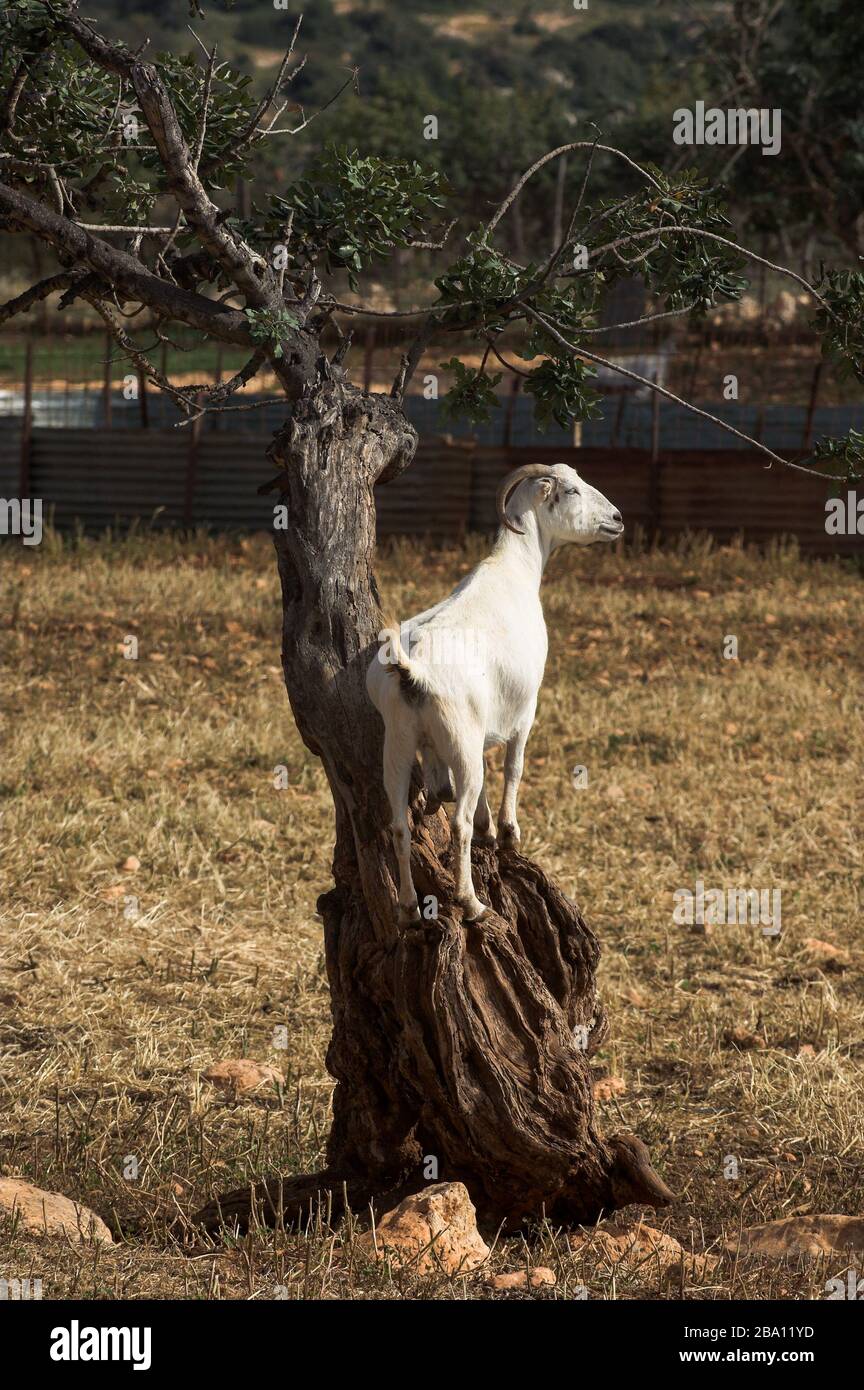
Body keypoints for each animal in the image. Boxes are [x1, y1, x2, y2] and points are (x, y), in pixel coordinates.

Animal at [366, 461, 624, 925]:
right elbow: (513, 767)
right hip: (459, 740)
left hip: (397, 742)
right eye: (572, 490)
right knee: (458, 823)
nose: (616, 519)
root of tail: (412, 670)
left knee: (398, 822)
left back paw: (409, 908)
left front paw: (491, 831)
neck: (513, 570)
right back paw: (471, 903)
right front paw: (507, 834)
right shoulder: (525, 708)